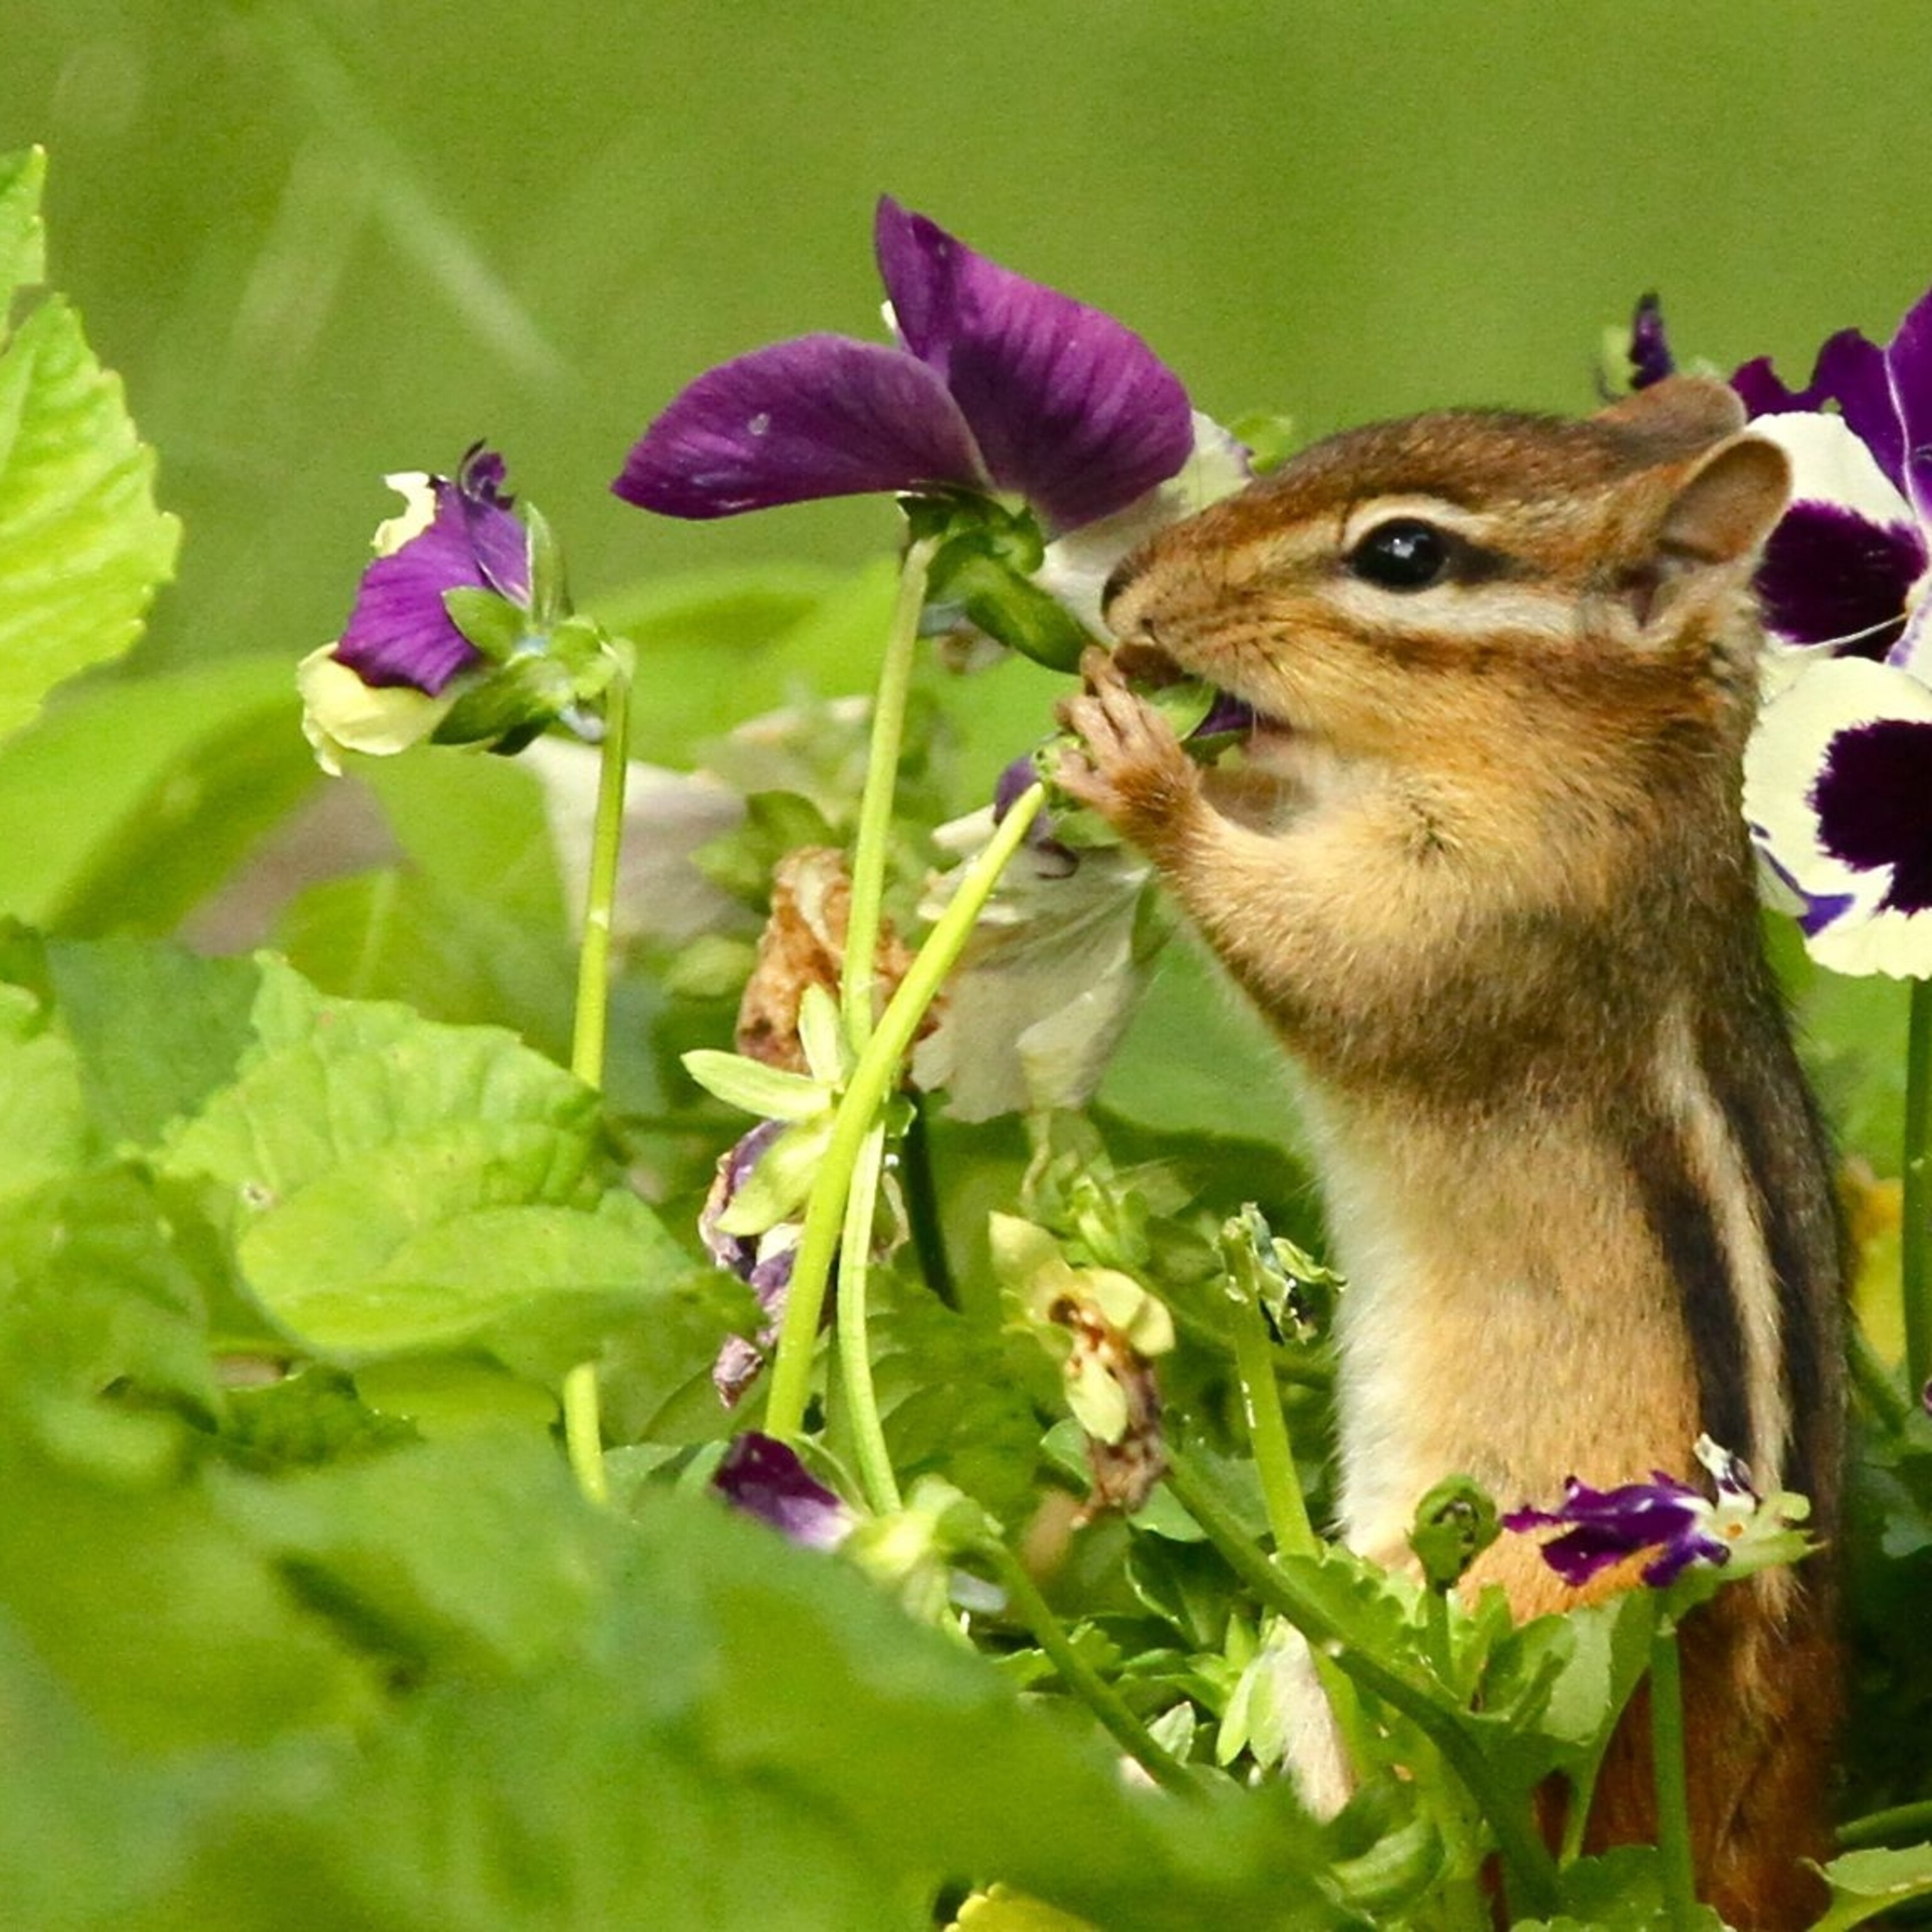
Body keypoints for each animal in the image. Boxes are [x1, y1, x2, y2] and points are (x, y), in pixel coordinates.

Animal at [1057, 376, 1845, 1931]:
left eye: (1405, 556)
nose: (1124, 593)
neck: (1617, 757)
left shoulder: (1481, 906)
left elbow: (1323, 956)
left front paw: (1146, 772)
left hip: (1418, 1653)